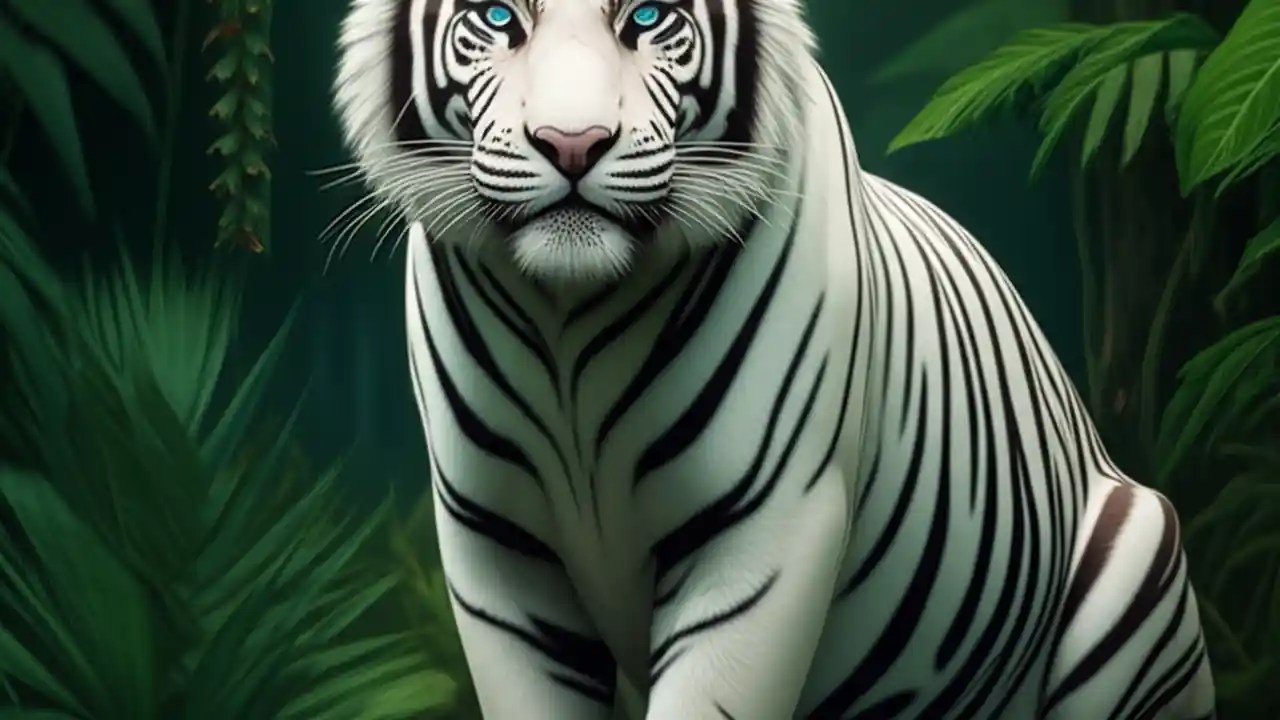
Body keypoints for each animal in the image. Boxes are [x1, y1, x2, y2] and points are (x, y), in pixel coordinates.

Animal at [331, 0, 1218, 717]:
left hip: (1142, 551)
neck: (568, 321)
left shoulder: (761, 532)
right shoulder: (497, 551)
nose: (572, 145)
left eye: (648, 16)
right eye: (498, 16)